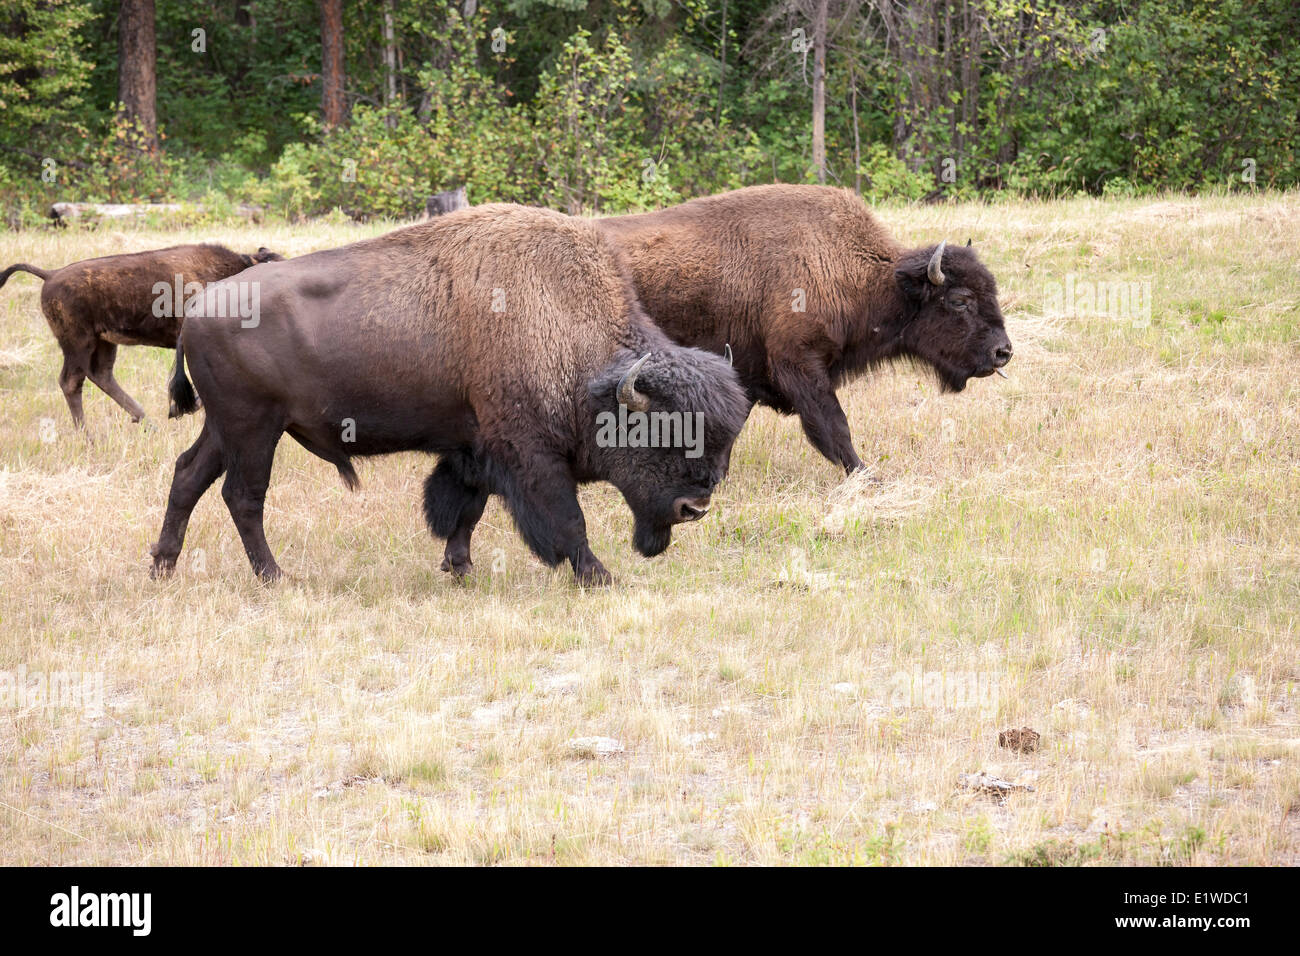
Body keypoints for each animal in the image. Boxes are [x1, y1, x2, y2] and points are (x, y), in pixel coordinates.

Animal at [0, 243, 283, 427]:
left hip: (104, 342)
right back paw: (87, 436)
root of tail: (50, 274)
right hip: (78, 343)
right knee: (72, 382)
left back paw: (143, 420)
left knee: (101, 375)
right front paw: (183, 408)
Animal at [153, 204, 747, 585]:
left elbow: (466, 508)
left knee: (188, 476)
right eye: (661, 435)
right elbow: (565, 519)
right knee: (242, 496)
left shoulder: (474, 447)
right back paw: (276, 577)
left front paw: (458, 567)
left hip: (226, 428)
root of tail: (197, 311)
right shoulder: (528, 453)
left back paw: (163, 567)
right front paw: (600, 576)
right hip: (254, 428)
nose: (695, 507)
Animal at [597, 184, 1013, 474]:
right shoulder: (798, 362)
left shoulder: (748, 371)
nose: (1003, 351)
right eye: (960, 300)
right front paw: (867, 475)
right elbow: (834, 424)